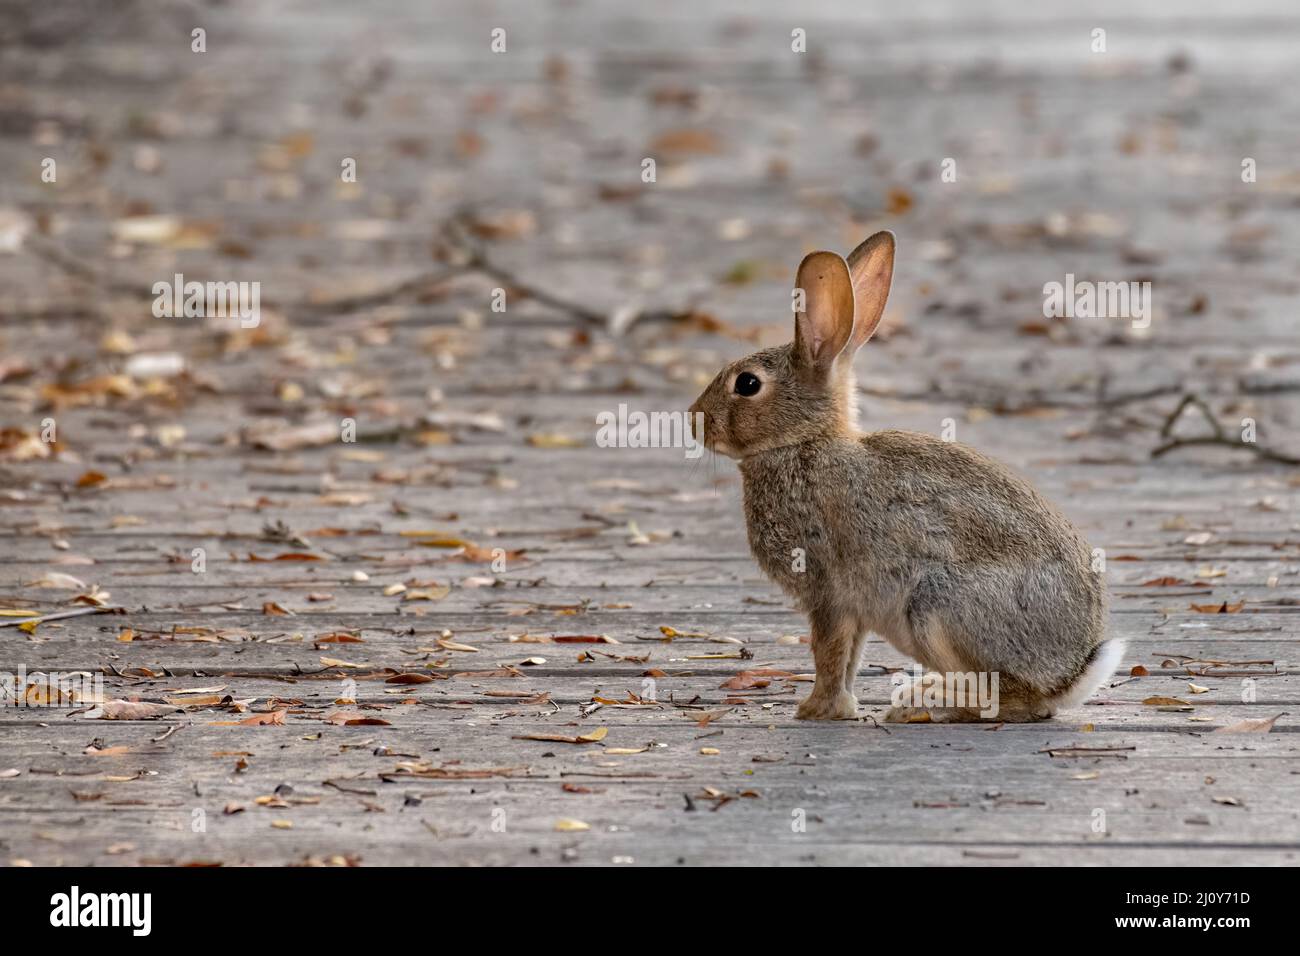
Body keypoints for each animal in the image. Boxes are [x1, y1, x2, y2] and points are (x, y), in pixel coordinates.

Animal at [688, 231, 1123, 722]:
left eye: (747, 384)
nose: (694, 420)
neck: (803, 442)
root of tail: (1070, 674)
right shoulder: (852, 606)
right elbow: (849, 656)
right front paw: (838, 706)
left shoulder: (826, 590)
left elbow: (829, 653)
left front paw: (816, 710)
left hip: (935, 605)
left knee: (1014, 698)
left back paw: (924, 704)